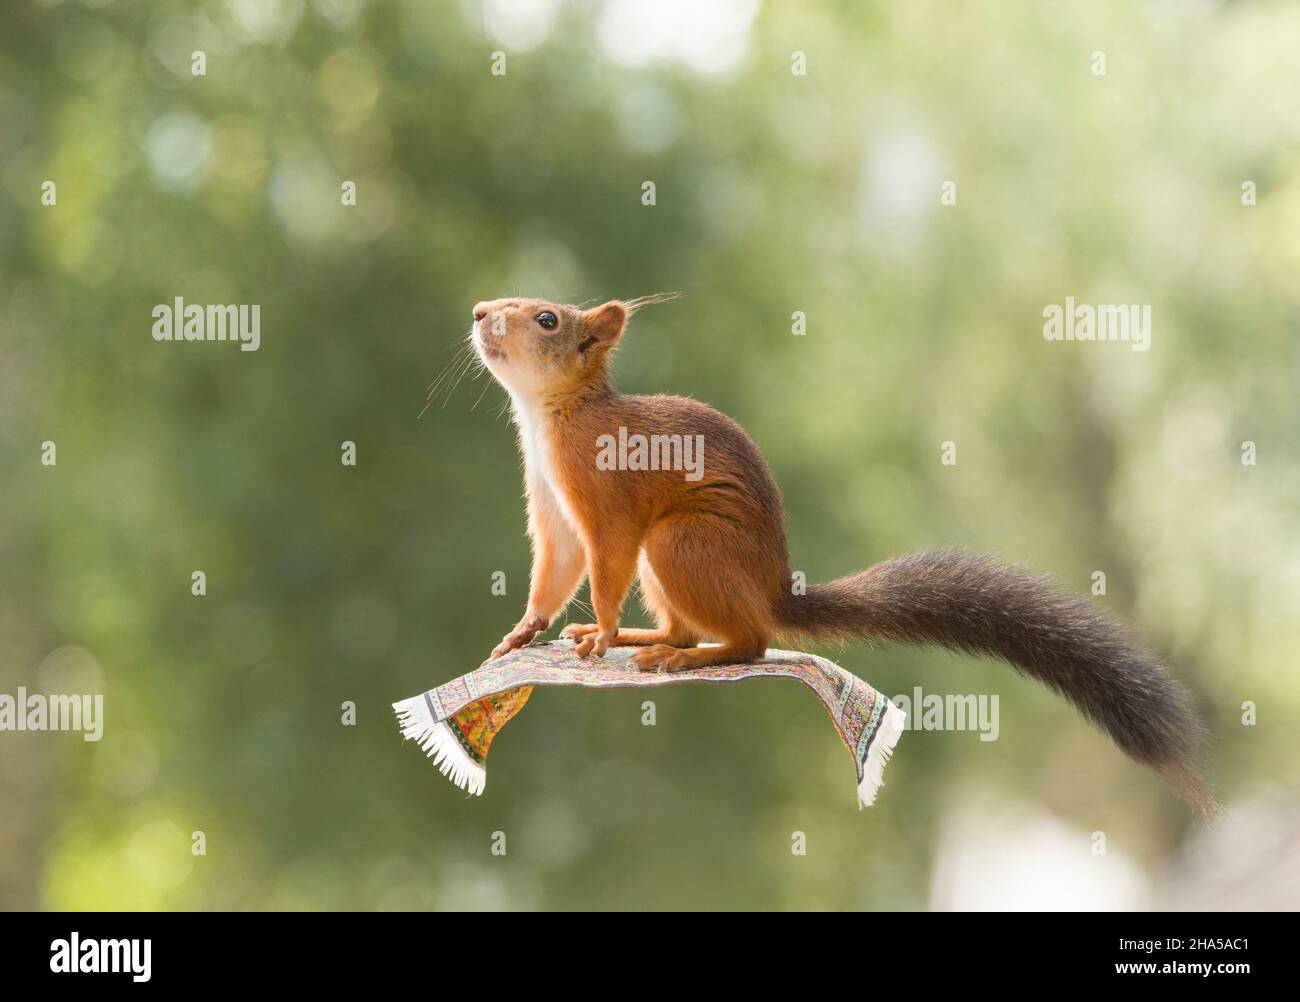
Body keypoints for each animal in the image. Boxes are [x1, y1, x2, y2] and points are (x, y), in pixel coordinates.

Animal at [468, 295, 1214, 812]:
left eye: (545, 318)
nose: (478, 312)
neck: (554, 418)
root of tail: (771, 586)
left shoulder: (608, 505)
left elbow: (604, 565)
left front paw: (601, 636)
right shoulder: (553, 510)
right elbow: (556, 570)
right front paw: (529, 631)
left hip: (680, 543)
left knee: (750, 641)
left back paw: (679, 654)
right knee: (695, 627)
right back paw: (655, 642)